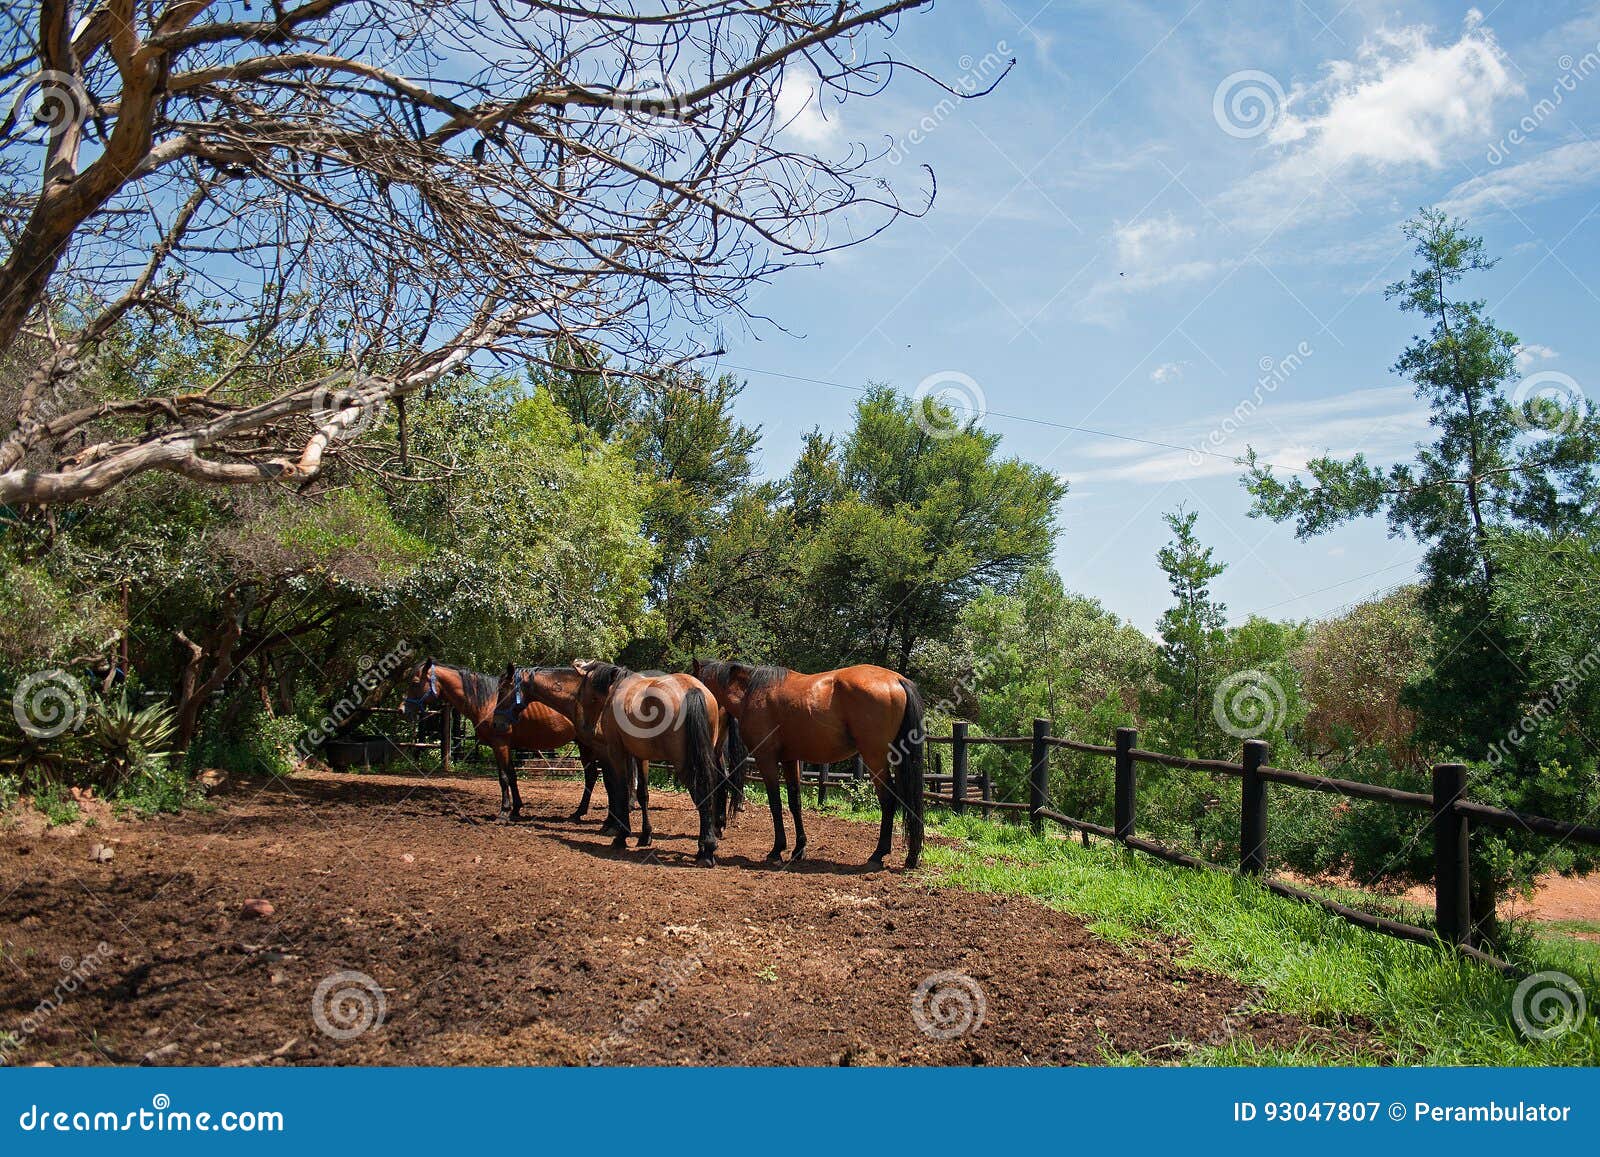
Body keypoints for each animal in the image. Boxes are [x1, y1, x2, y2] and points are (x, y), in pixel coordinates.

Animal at [399, 659, 585, 824]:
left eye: (414, 682)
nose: (401, 709)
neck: (487, 701)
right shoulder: (507, 746)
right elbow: (512, 776)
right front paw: (516, 809)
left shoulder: (499, 744)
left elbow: (503, 777)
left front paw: (504, 812)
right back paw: (577, 813)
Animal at [690, 660, 925, 869]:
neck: (752, 692)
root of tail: (897, 679)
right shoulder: (789, 760)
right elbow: (795, 802)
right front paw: (798, 849)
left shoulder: (767, 760)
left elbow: (776, 803)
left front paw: (777, 850)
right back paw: (911, 856)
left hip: (875, 758)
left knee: (888, 800)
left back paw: (878, 854)